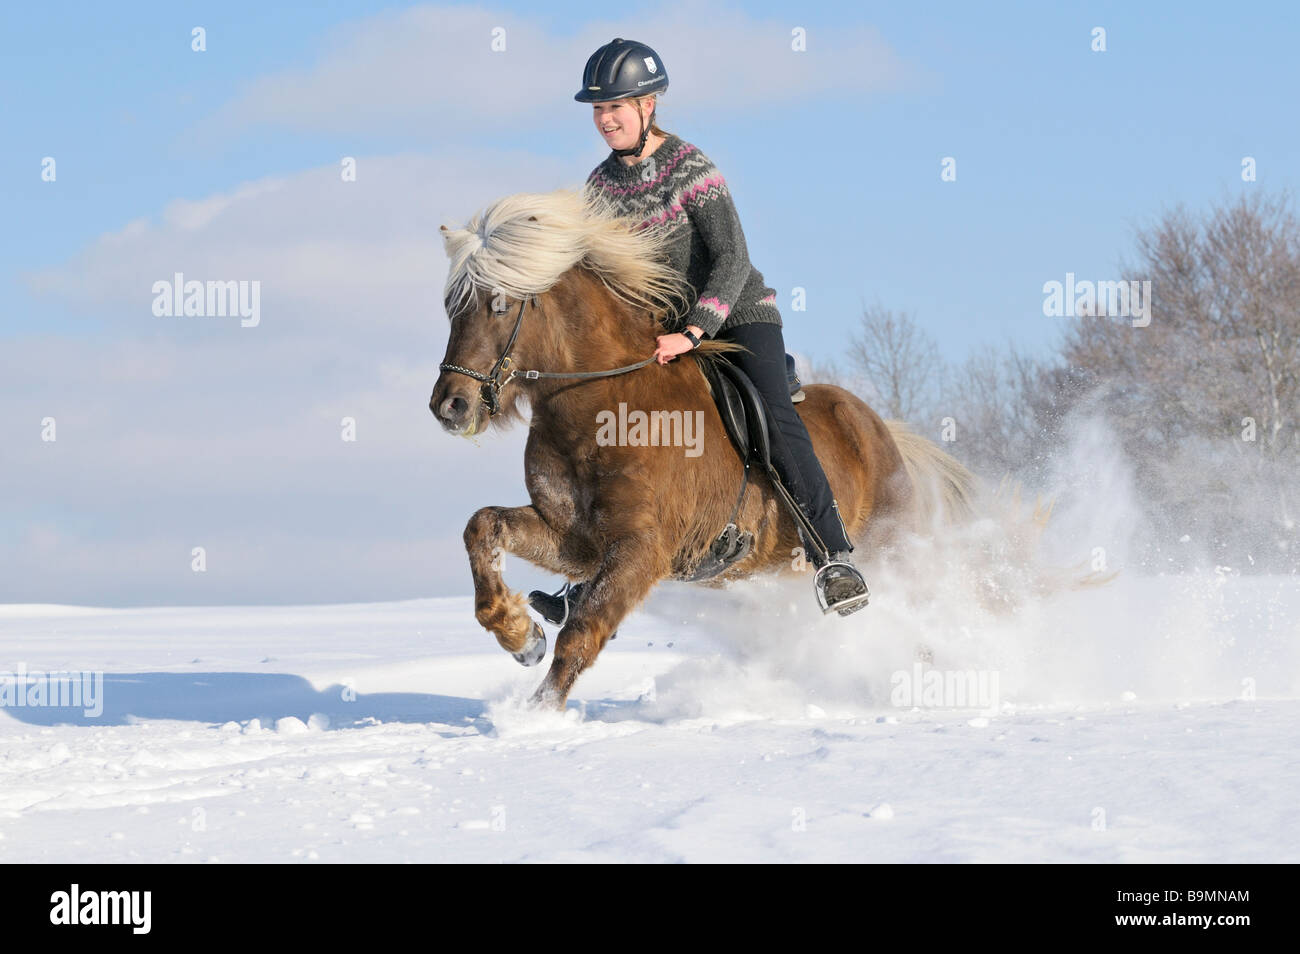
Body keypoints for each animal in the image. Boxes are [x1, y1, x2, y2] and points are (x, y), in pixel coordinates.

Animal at [429, 188, 975, 709]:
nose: (449, 406)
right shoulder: (575, 540)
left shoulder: (642, 548)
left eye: (499, 304)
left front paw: (534, 717)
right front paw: (521, 637)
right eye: (451, 307)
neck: (600, 405)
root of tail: (881, 431)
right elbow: (483, 527)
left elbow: (582, 632)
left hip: (892, 547)